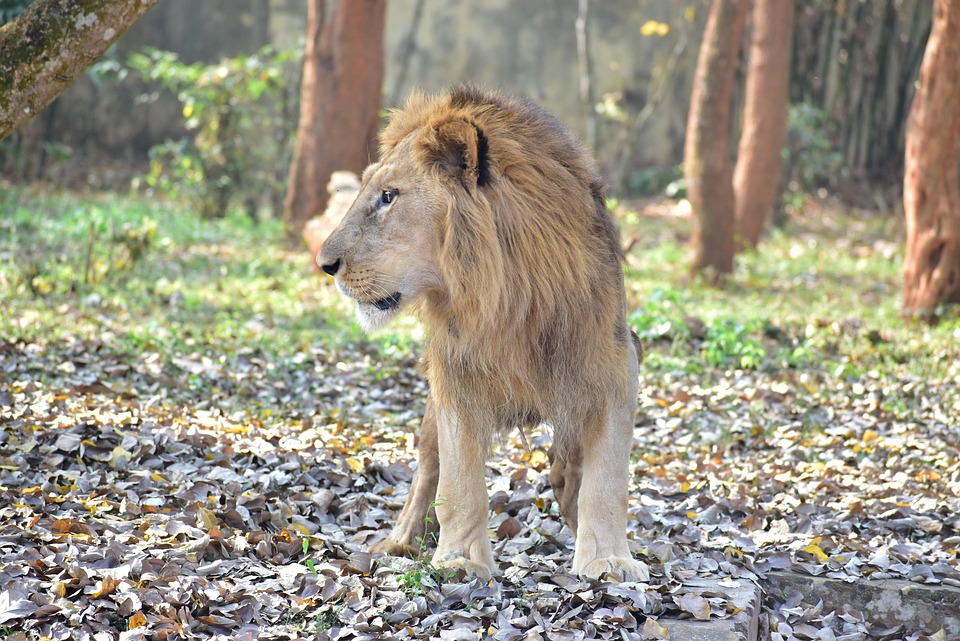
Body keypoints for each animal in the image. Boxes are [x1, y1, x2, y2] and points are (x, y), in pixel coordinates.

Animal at [318, 85, 647, 582]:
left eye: (389, 196)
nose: (324, 263)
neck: (508, 297)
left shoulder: (611, 364)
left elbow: (606, 481)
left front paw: (608, 558)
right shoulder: (456, 374)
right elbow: (458, 483)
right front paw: (460, 559)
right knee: (427, 471)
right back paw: (399, 541)